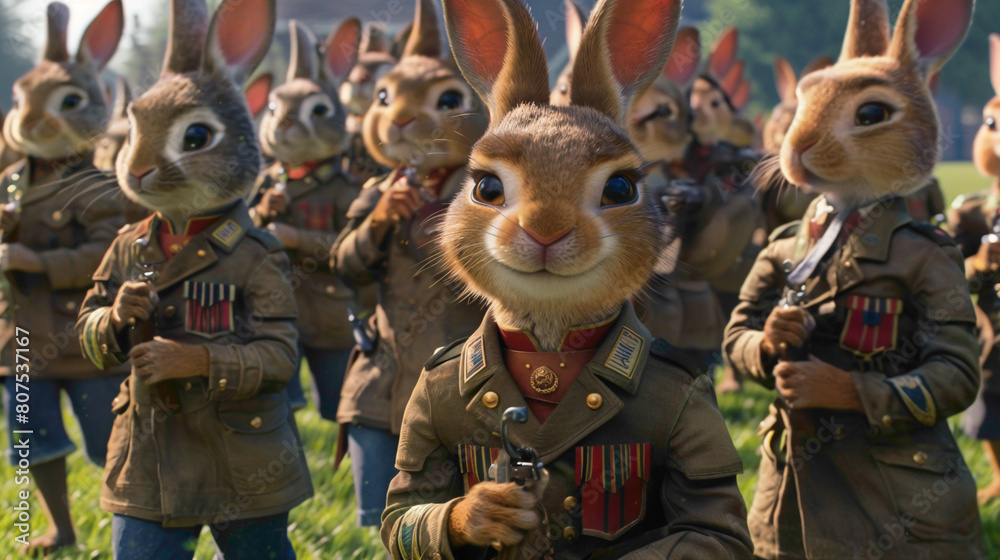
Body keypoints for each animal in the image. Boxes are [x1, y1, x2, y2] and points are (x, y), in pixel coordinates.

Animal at [377, 0, 754, 558]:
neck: (549, 353)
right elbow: (404, 511)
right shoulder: (428, 396)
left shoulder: (692, 402)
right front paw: (490, 511)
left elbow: (711, 528)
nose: (546, 228)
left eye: (620, 188)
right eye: (486, 187)